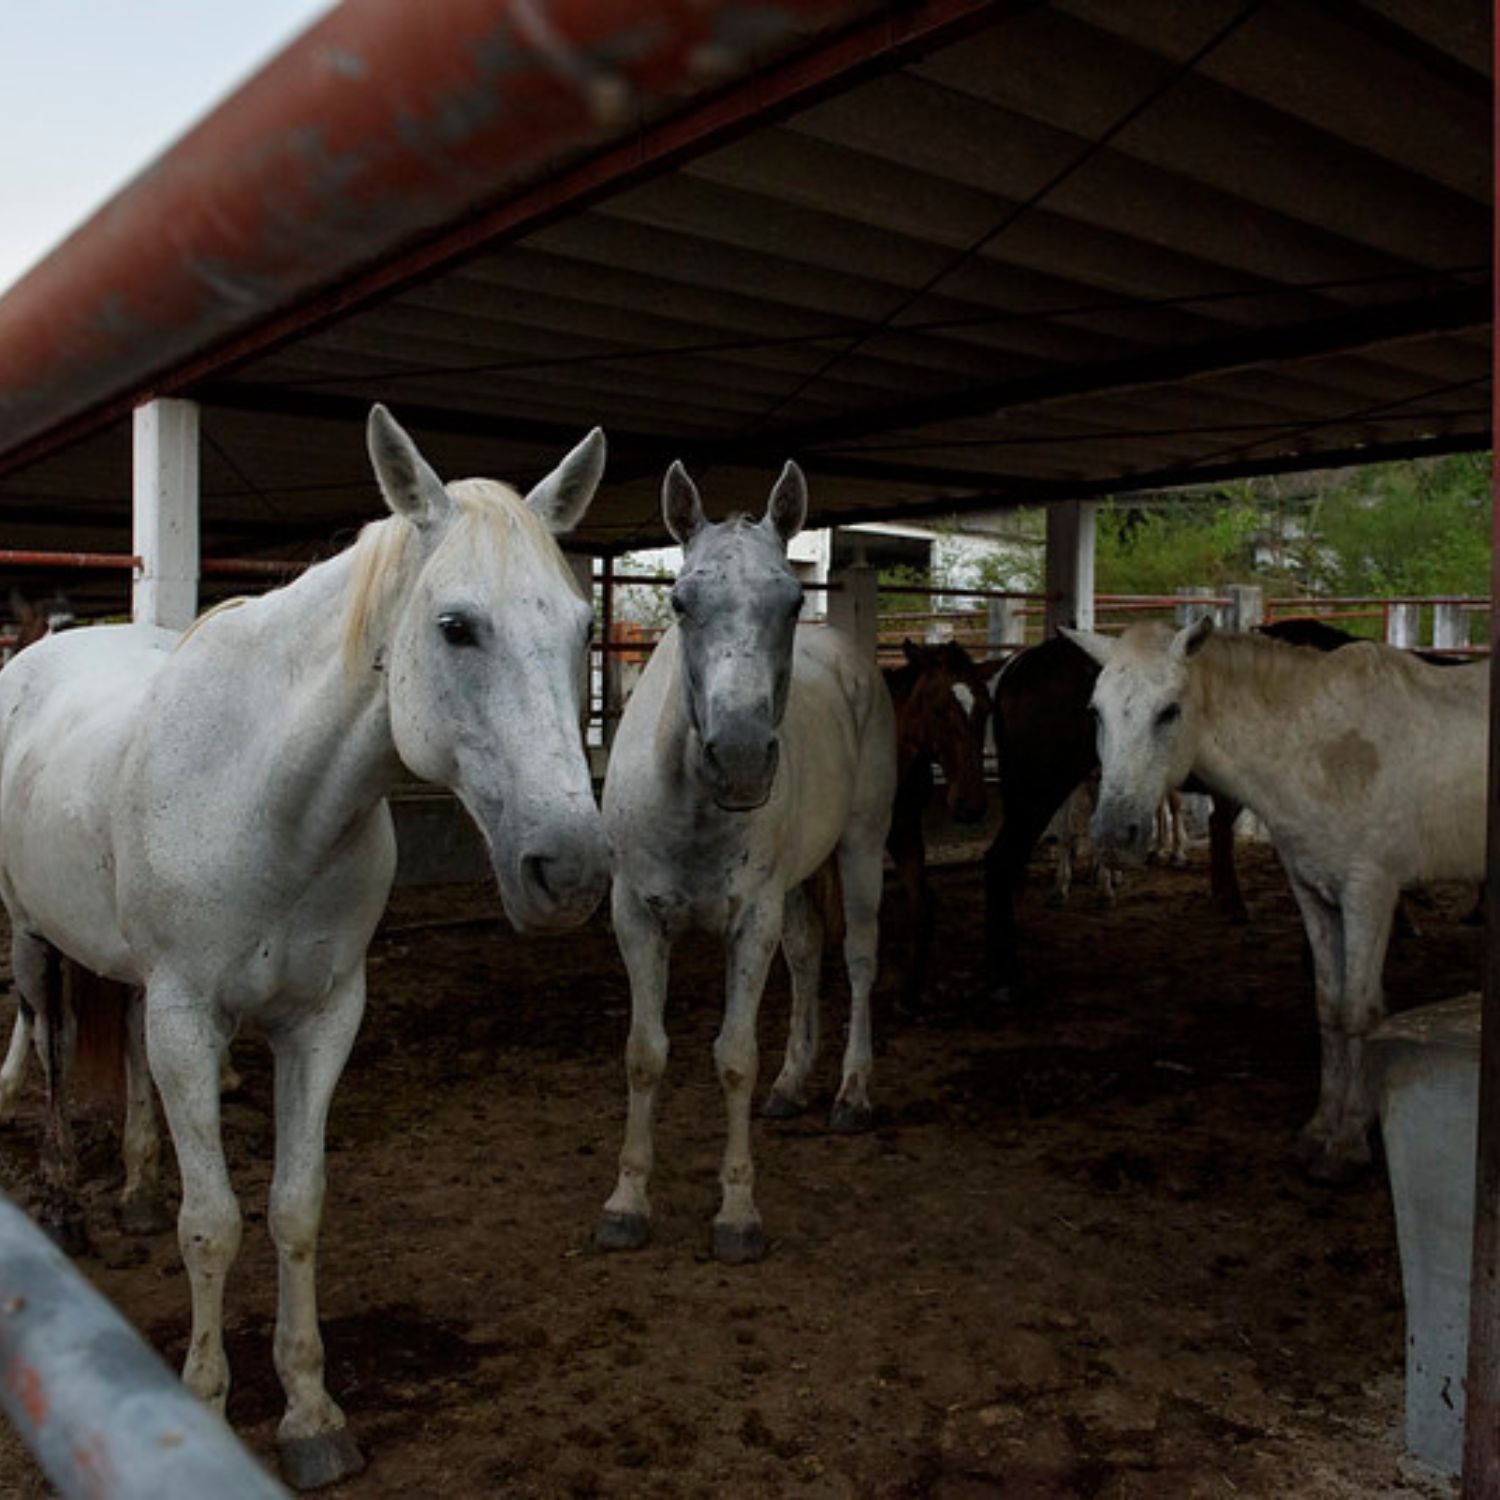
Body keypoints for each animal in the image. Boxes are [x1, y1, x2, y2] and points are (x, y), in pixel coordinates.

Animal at [0, 406, 610, 1489]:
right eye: (457, 626)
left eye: (586, 628)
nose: (571, 868)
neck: (268, 796)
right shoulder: (191, 1018)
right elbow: (214, 1223)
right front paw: (205, 1401)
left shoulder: (321, 1019)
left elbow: (295, 1206)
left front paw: (312, 1413)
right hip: (36, 940)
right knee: (59, 1050)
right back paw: (67, 1203)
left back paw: (136, 1190)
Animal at [596, 460, 896, 1264]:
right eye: (680, 601)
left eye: (791, 602)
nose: (737, 760)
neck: (693, 805)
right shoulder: (636, 917)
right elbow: (643, 1052)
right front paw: (626, 1202)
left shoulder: (748, 920)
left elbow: (733, 1057)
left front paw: (736, 1213)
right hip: (794, 884)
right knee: (807, 953)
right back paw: (793, 1087)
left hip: (862, 849)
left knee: (858, 957)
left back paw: (852, 1094)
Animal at [883, 639, 991, 1013]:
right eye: (939, 708)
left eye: (987, 709)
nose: (971, 805)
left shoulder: (904, 831)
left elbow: (922, 909)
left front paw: (909, 993)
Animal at [1065, 616, 1486, 1183]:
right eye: (1096, 711)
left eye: (1169, 711)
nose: (1114, 834)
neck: (1319, 749)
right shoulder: (1313, 893)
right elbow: (1328, 1009)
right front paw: (1321, 1129)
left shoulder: (1369, 893)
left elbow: (1358, 1012)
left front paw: (1348, 1143)